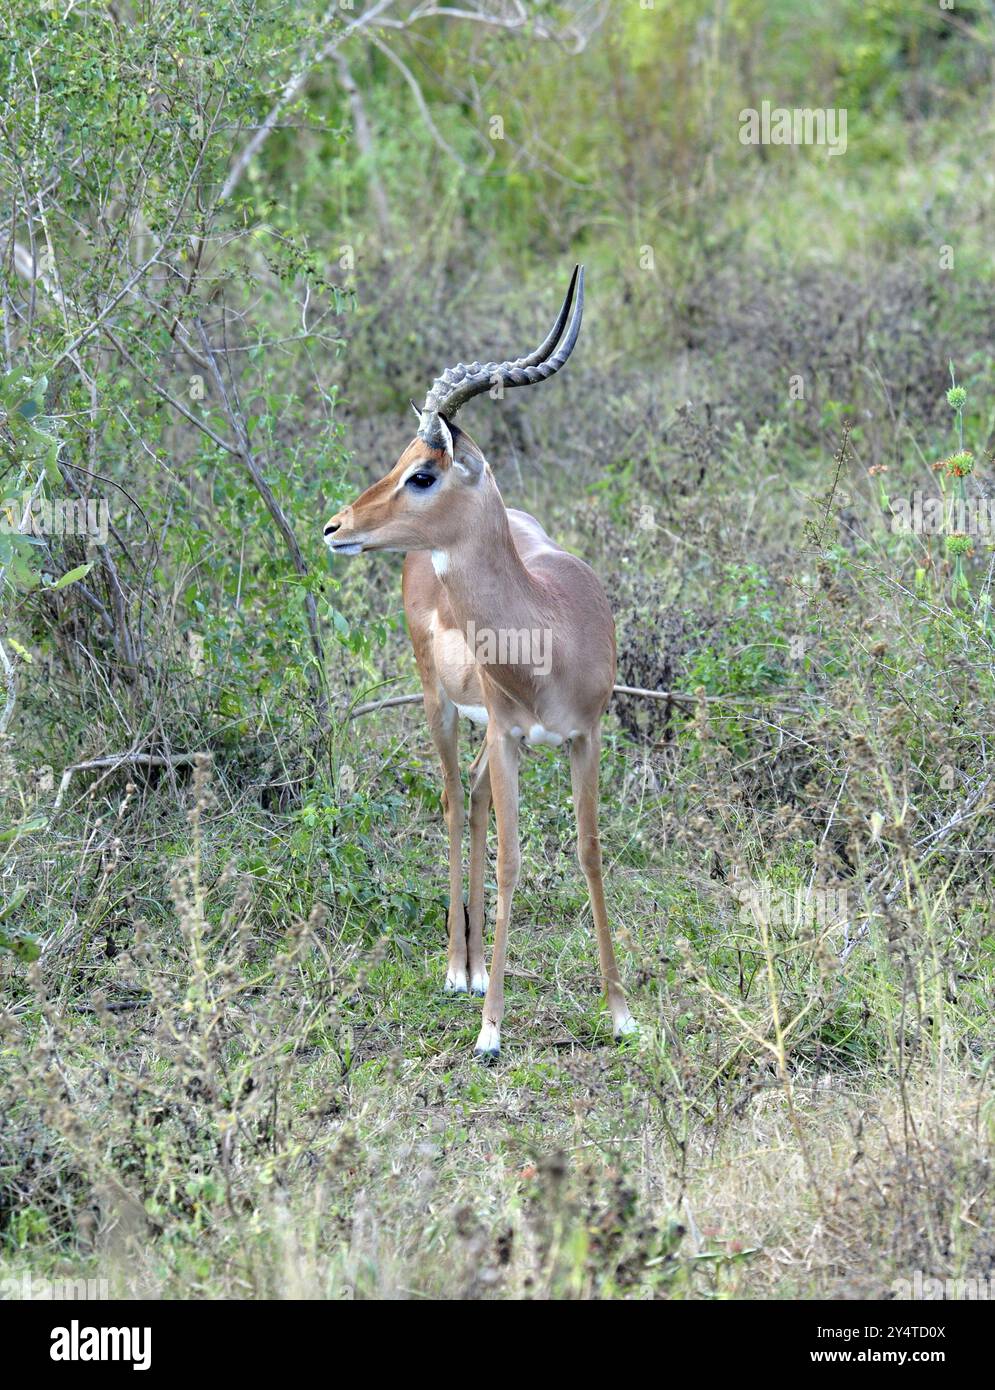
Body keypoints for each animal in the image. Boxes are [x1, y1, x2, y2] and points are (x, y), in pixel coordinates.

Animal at [324, 266, 635, 1059]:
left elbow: (589, 850)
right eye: (401, 462)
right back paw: (456, 970)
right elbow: (512, 860)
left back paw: (466, 967)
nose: (335, 526)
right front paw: (491, 1029)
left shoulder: (584, 736)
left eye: (422, 473)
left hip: (488, 735)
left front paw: (621, 1012)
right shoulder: (507, 735)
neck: (547, 630)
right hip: (443, 709)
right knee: (452, 801)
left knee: (469, 798)